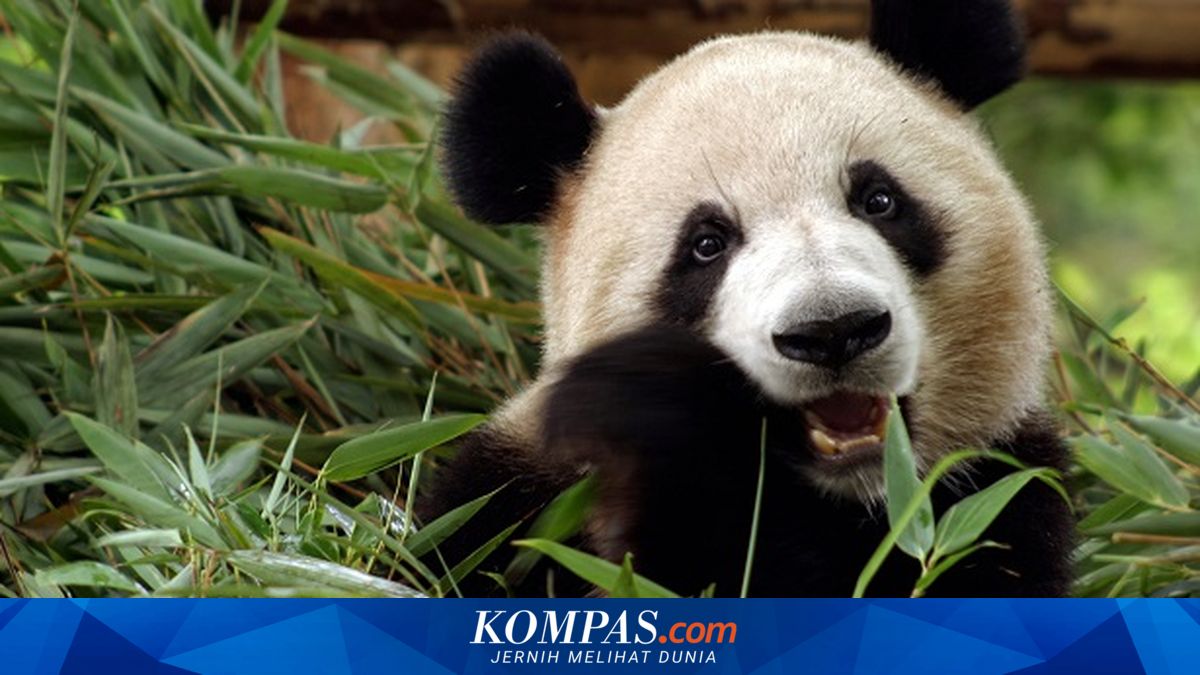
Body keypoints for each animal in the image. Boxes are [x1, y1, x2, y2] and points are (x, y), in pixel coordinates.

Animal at [421, 0, 1075, 597]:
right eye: (707, 244)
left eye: (879, 200)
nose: (833, 330)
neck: (850, 498)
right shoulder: (514, 499)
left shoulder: (999, 492)